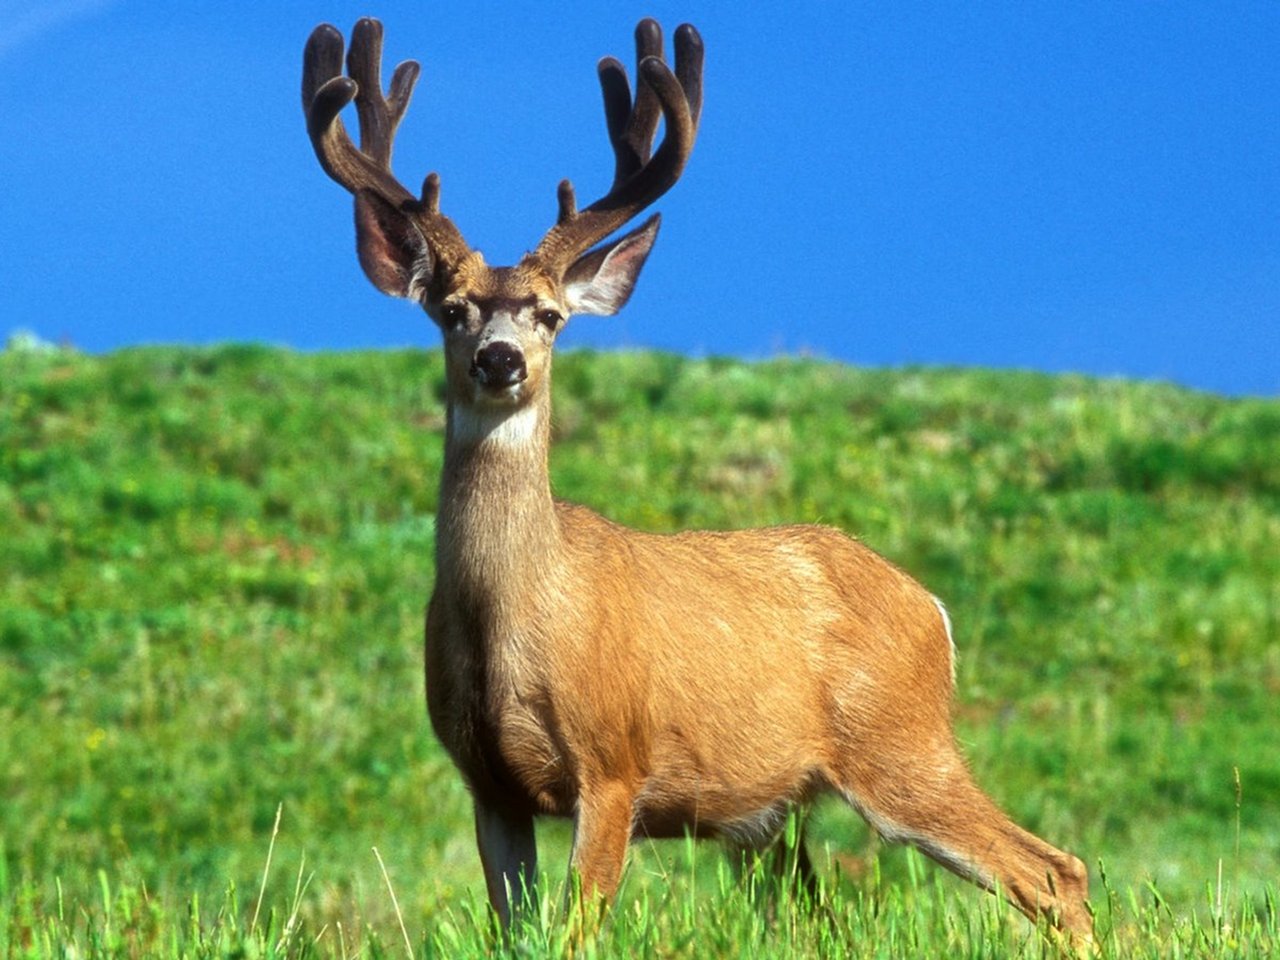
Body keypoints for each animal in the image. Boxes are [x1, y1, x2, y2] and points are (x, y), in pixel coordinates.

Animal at [301, 16, 1094, 943]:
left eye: (550, 316)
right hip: (773, 813)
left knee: (1053, 871)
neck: (516, 615)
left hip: (901, 743)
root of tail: (930, 607)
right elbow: (515, 929)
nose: (499, 360)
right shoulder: (486, 781)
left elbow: (576, 929)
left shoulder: (614, 761)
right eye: (451, 310)